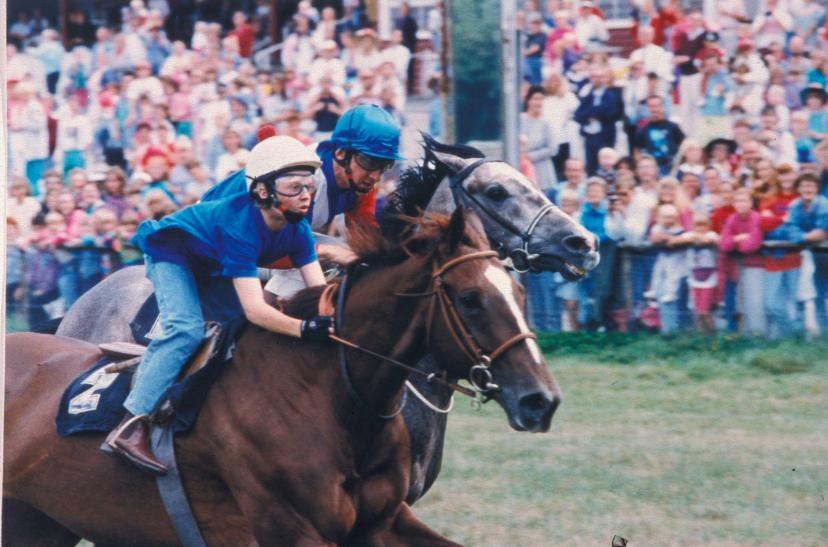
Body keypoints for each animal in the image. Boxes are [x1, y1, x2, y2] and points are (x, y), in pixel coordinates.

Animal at [4, 210, 564, 547]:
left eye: (518, 293)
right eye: (470, 300)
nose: (541, 400)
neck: (328, 396)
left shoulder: (385, 520)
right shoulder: (293, 529)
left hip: (42, 523)